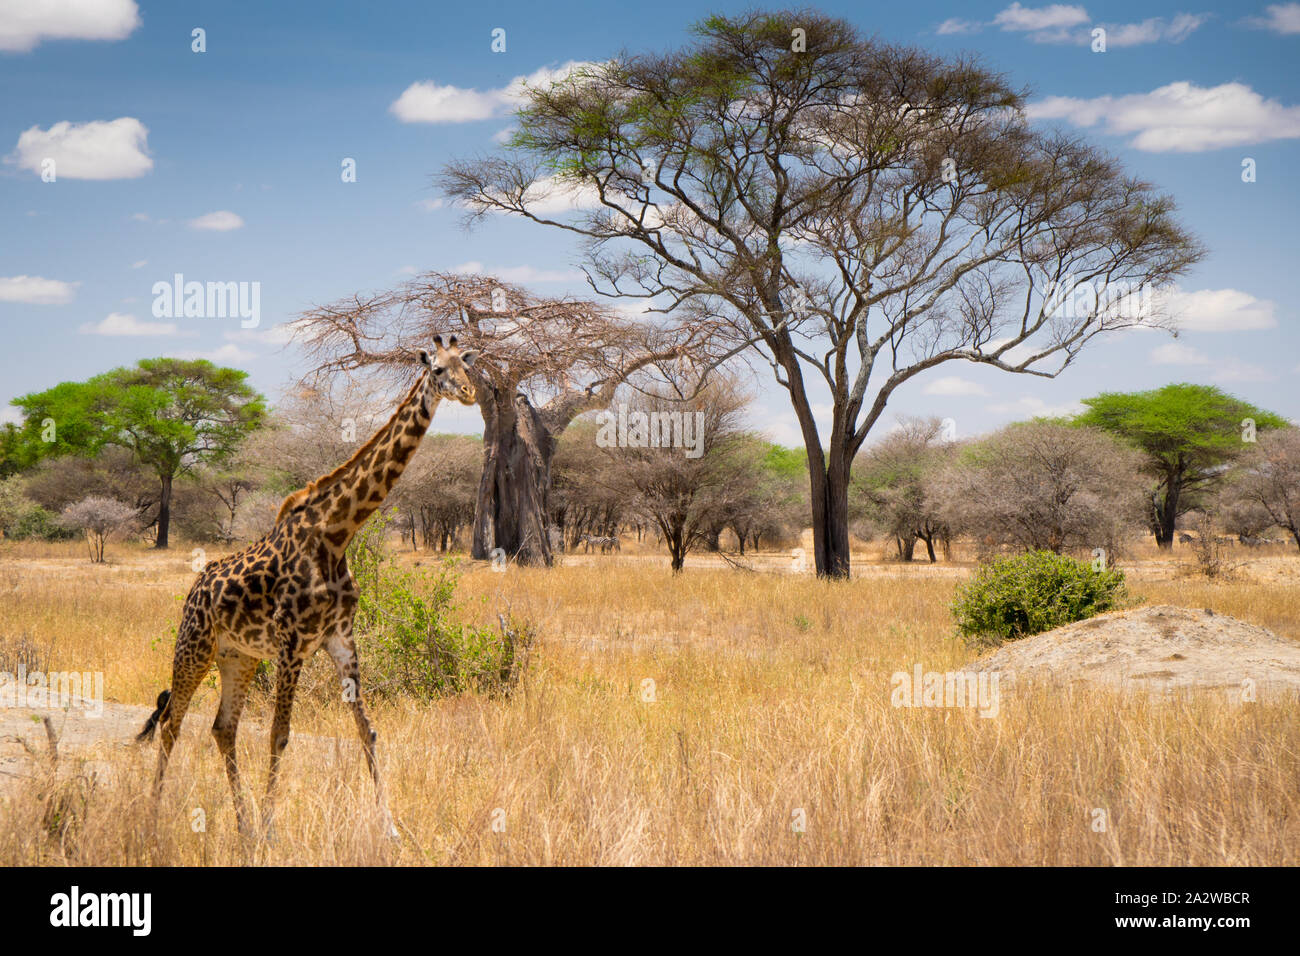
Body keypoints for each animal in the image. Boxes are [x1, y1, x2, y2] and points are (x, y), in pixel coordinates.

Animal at [138, 335, 478, 838]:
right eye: (437, 369)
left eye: (468, 365)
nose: (469, 392)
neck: (337, 534)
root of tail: (195, 590)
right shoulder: (292, 642)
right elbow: (280, 734)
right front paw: (271, 830)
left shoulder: (340, 639)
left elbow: (366, 729)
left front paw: (390, 828)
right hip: (194, 648)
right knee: (171, 724)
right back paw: (153, 819)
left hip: (237, 657)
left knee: (222, 728)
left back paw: (241, 825)